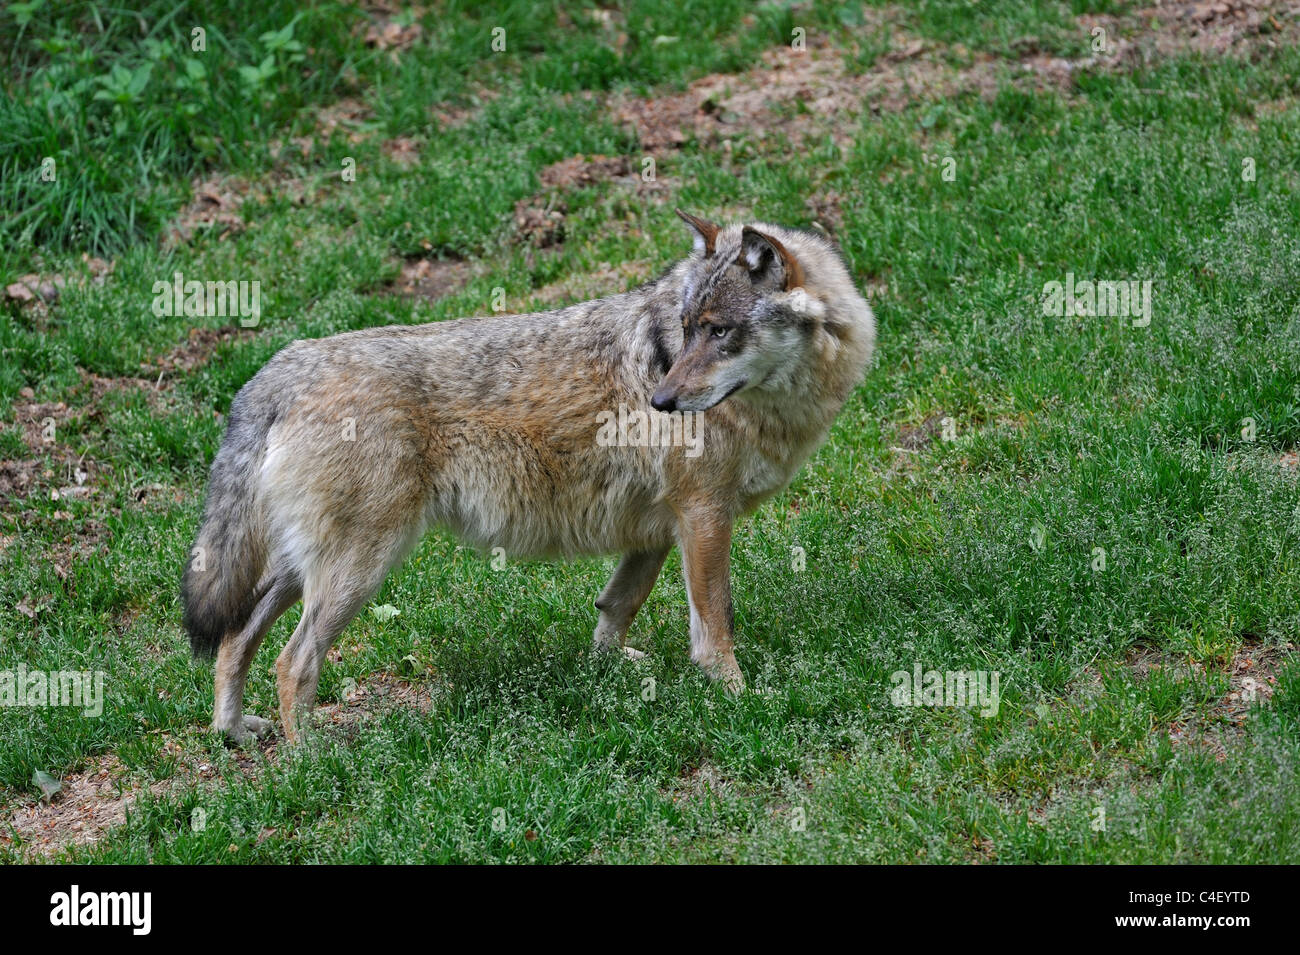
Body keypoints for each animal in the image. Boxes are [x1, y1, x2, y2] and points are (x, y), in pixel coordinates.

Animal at [182, 211, 876, 742]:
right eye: (686, 332)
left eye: (719, 331)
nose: (661, 402)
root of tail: (280, 366)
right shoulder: (704, 515)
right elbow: (715, 624)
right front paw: (739, 696)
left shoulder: (658, 529)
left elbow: (616, 607)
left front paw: (609, 672)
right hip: (359, 570)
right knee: (292, 663)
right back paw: (313, 762)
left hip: (301, 571)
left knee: (233, 641)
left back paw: (235, 733)